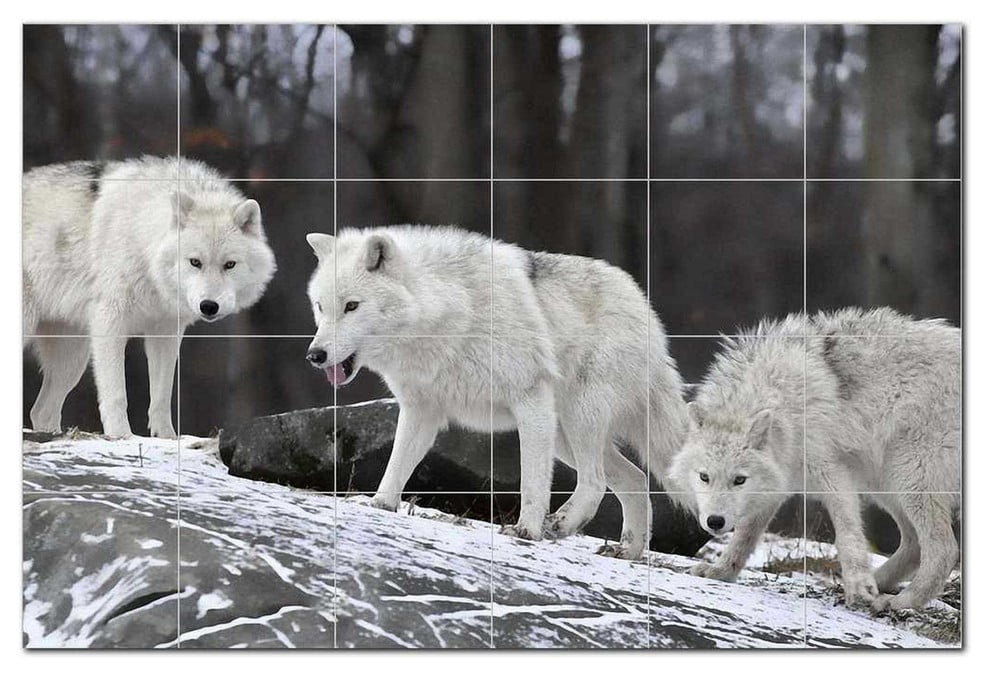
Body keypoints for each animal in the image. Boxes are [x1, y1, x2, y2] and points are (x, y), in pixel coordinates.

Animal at [23, 156, 276, 438]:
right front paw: (121, 436)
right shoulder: (110, 322)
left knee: (41, 410)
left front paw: (166, 437)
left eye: (230, 265)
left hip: (72, 359)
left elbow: (162, 396)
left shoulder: (165, 331)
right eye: (195, 262)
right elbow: (117, 394)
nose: (209, 306)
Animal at [304, 225, 689, 559]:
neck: (447, 313)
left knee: (595, 481)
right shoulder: (421, 411)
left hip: (577, 419)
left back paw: (561, 525)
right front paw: (380, 506)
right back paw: (629, 551)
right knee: (635, 478)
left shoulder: (531, 401)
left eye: (352, 306)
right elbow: (396, 466)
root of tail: (642, 303)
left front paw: (527, 531)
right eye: (321, 306)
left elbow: (532, 482)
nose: (315, 355)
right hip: (564, 435)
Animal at [668, 307, 960, 611]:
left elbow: (848, 536)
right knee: (915, 545)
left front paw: (859, 588)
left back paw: (901, 601)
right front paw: (722, 571)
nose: (715, 522)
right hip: (887, 484)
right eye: (704, 477)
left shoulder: (832, 473)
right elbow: (745, 537)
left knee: (944, 550)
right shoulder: (777, 483)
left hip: (909, 478)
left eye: (739, 480)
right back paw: (877, 585)